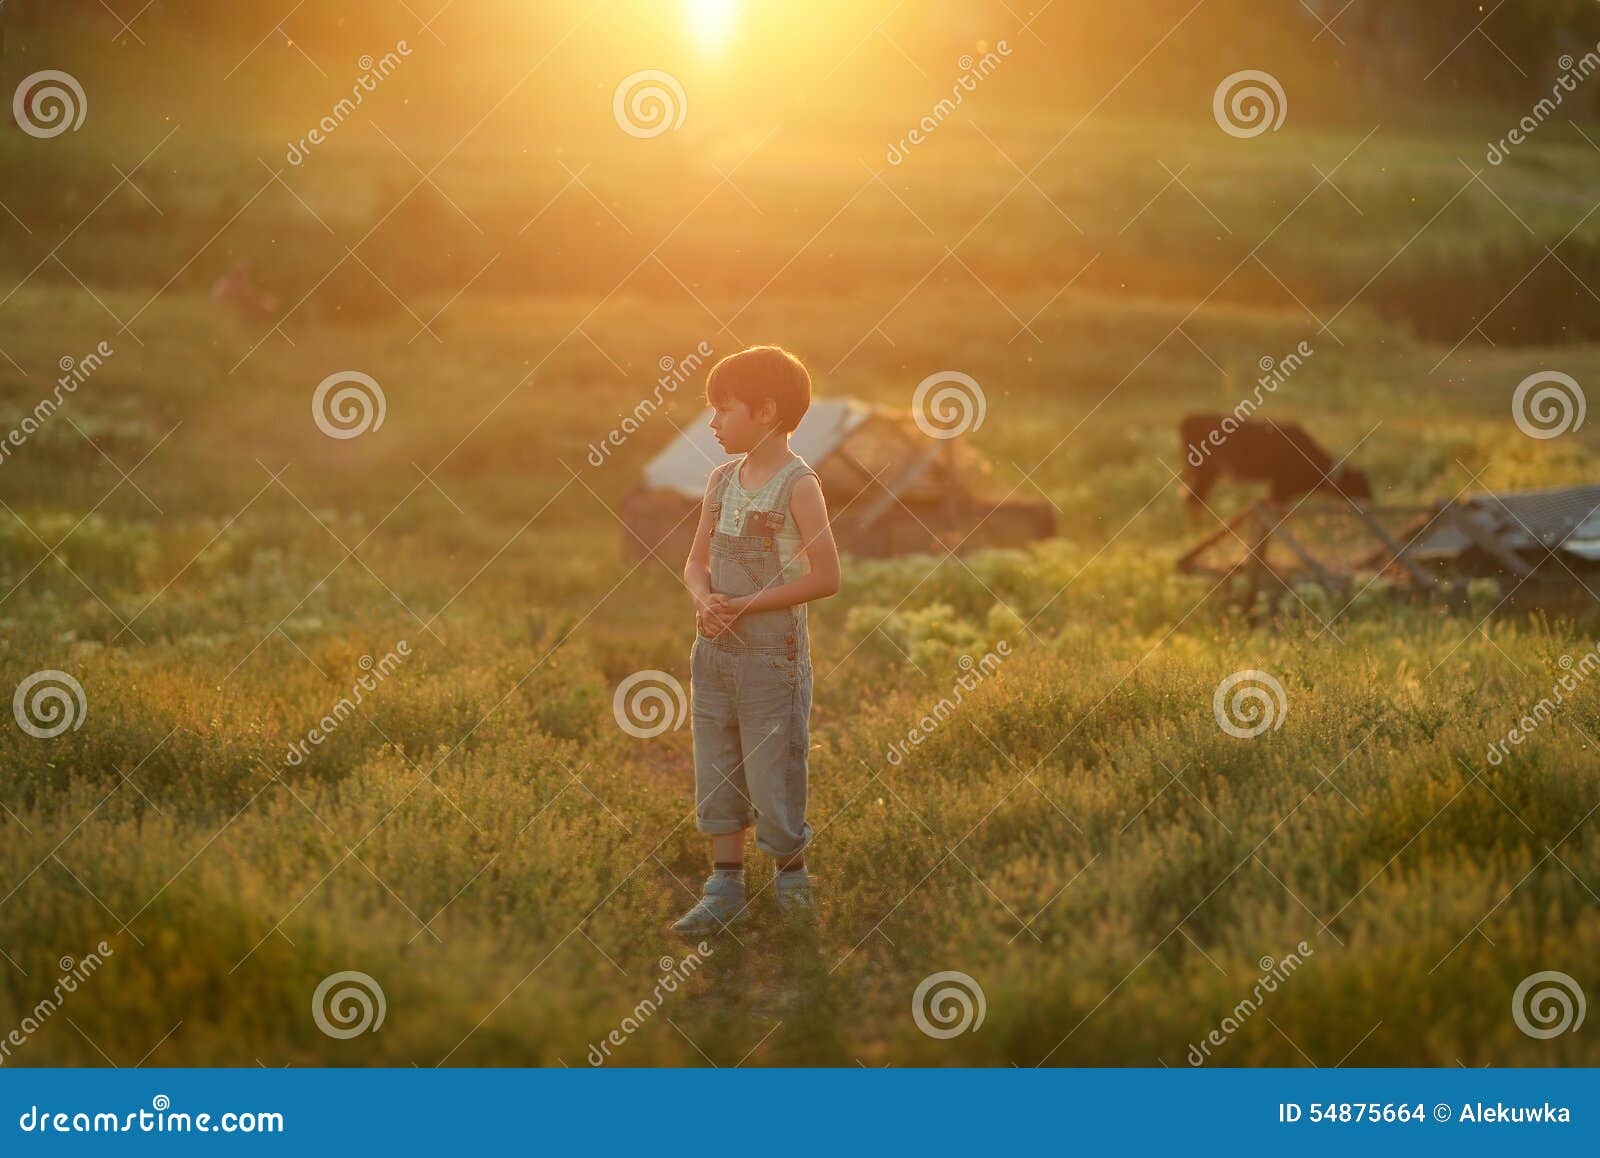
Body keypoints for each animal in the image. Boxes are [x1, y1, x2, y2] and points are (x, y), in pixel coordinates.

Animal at [1180, 412, 1372, 518]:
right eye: (1361, 483)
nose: (1370, 497)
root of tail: (1189, 418)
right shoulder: (1279, 487)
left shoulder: (1281, 491)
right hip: (1205, 474)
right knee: (1193, 501)